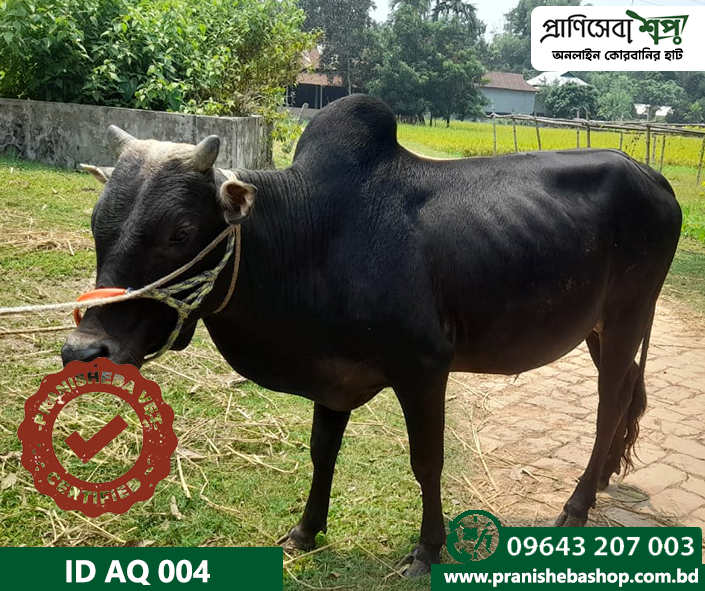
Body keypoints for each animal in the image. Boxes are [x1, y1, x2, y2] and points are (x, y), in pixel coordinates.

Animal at [62, 95, 681, 576]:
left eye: (181, 230)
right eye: (96, 223)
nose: (86, 349)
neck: (311, 238)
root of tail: (653, 178)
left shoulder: (425, 368)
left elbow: (426, 461)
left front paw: (428, 549)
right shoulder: (331, 378)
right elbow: (322, 452)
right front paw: (305, 530)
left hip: (627, 316)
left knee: (610, 404)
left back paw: (577, 505)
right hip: (599, 328)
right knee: (627, 392)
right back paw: (602, 480)